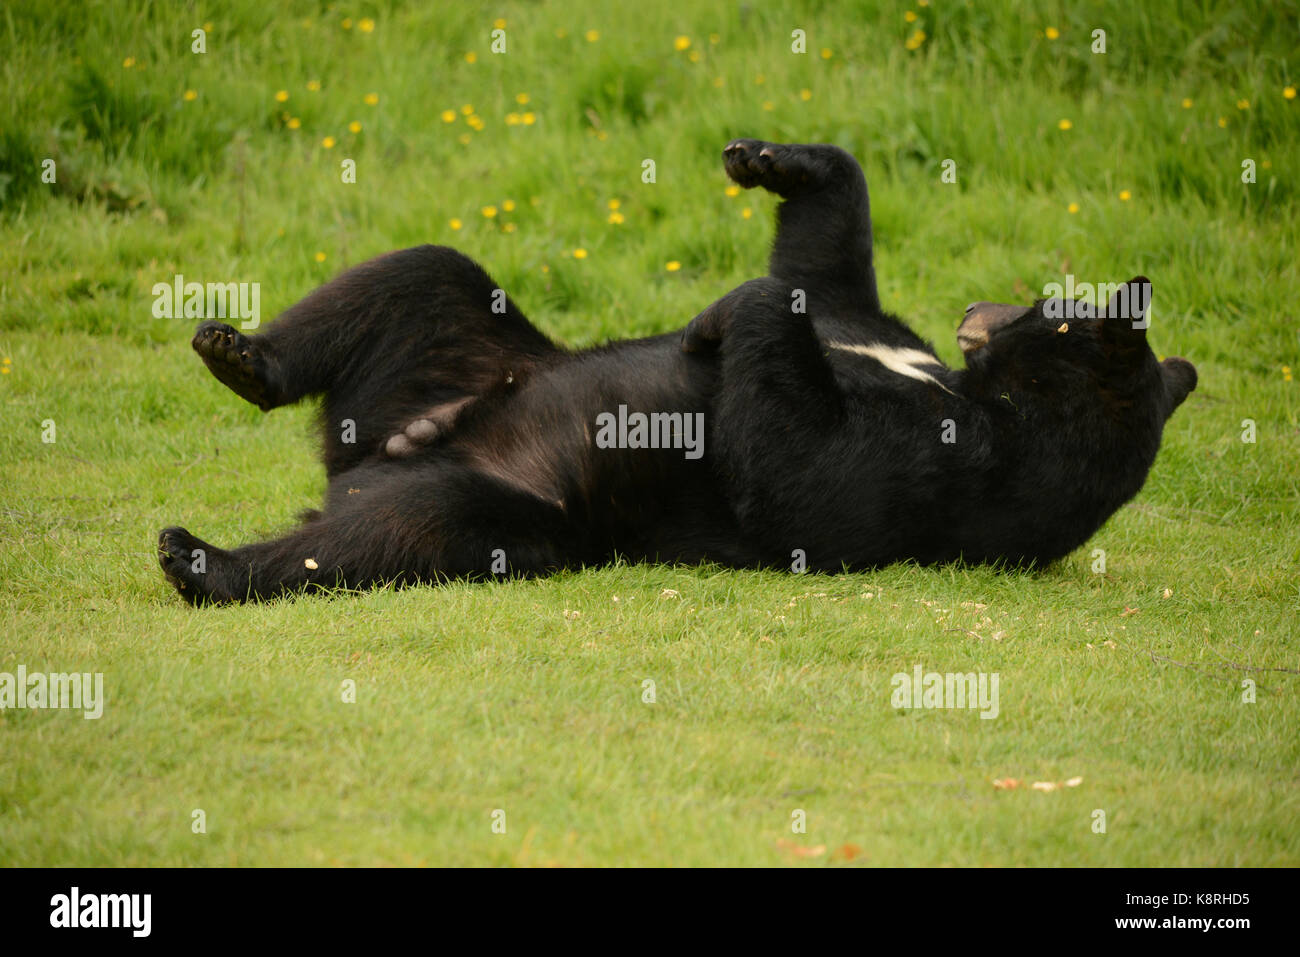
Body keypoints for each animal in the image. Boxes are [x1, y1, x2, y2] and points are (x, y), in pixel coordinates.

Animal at [157, 139, 1196, 603]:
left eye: (1049, 306)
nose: (987, 311)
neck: (983, 394)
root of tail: (374, 451)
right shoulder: (886, 336)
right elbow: (822, 271)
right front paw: (769, 160)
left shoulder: (949, 467)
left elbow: (795, 474)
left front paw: (717, 319)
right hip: (453, 351)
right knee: (425, 271)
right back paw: (241, 356)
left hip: (515, 513)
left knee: (391, 533)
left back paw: (205, 557)